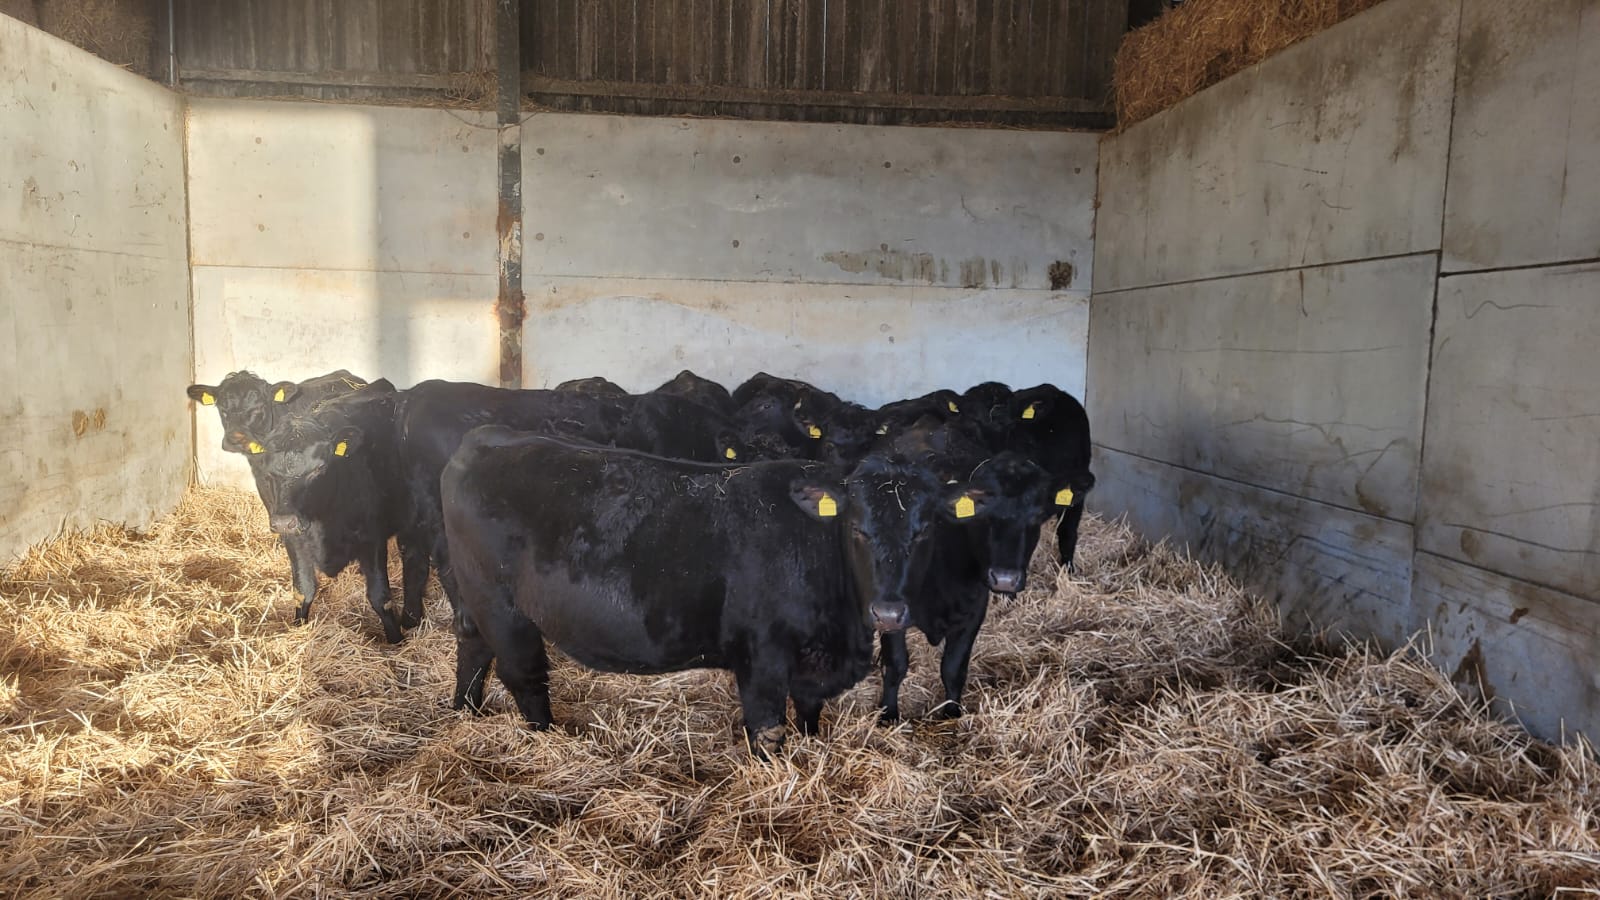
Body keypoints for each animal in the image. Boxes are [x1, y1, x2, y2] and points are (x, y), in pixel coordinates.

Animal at [249, 380, 420, 643]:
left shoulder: (372, 538)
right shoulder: (294, 539)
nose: (284, 521)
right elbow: (304, 590)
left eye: (319, 469)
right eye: (268, 472)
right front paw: (299, 629)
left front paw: (396, 641)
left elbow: (380, 597)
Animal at [440, 430, 989, 756]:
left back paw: (465, 712)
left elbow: (810, 716)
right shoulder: (762, 658)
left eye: (925, 530)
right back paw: (547, 740)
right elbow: (768, 730)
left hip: (474, 599)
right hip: (501, 605)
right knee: (523, 674)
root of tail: (488, 439)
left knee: (472, 646)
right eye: (858, 528)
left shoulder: (813, 664)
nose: (890, 611)